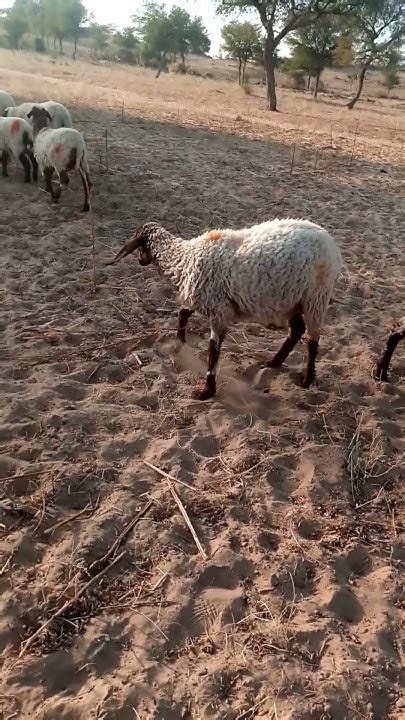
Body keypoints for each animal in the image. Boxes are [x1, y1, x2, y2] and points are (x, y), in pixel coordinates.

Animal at [106, 219, 343, 400]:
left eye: (139, 246)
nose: (141, 261)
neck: (184, 258)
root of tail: (330, 243)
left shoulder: (219, 310)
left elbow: (213, 351)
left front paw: (206, 391)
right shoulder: (201, 296)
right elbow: (183, 313)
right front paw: (180, 342)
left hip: (315, 298)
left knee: (312, 339)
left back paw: (307, 379)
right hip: (291, 301)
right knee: (297, 330)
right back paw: (273, 363)